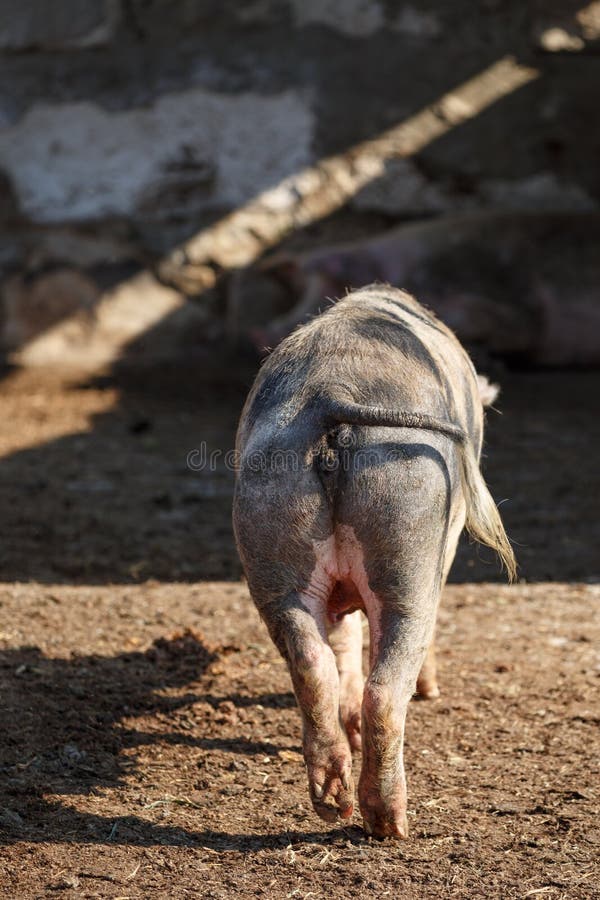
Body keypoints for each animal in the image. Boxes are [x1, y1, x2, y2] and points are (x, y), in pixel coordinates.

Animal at [233, 284, 515, 838]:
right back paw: (390, 825)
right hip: (411, 528)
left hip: (271, 535)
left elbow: (344, 640)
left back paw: (333, 803)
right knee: (387, 685)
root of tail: (332, 394)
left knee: (313, 661)